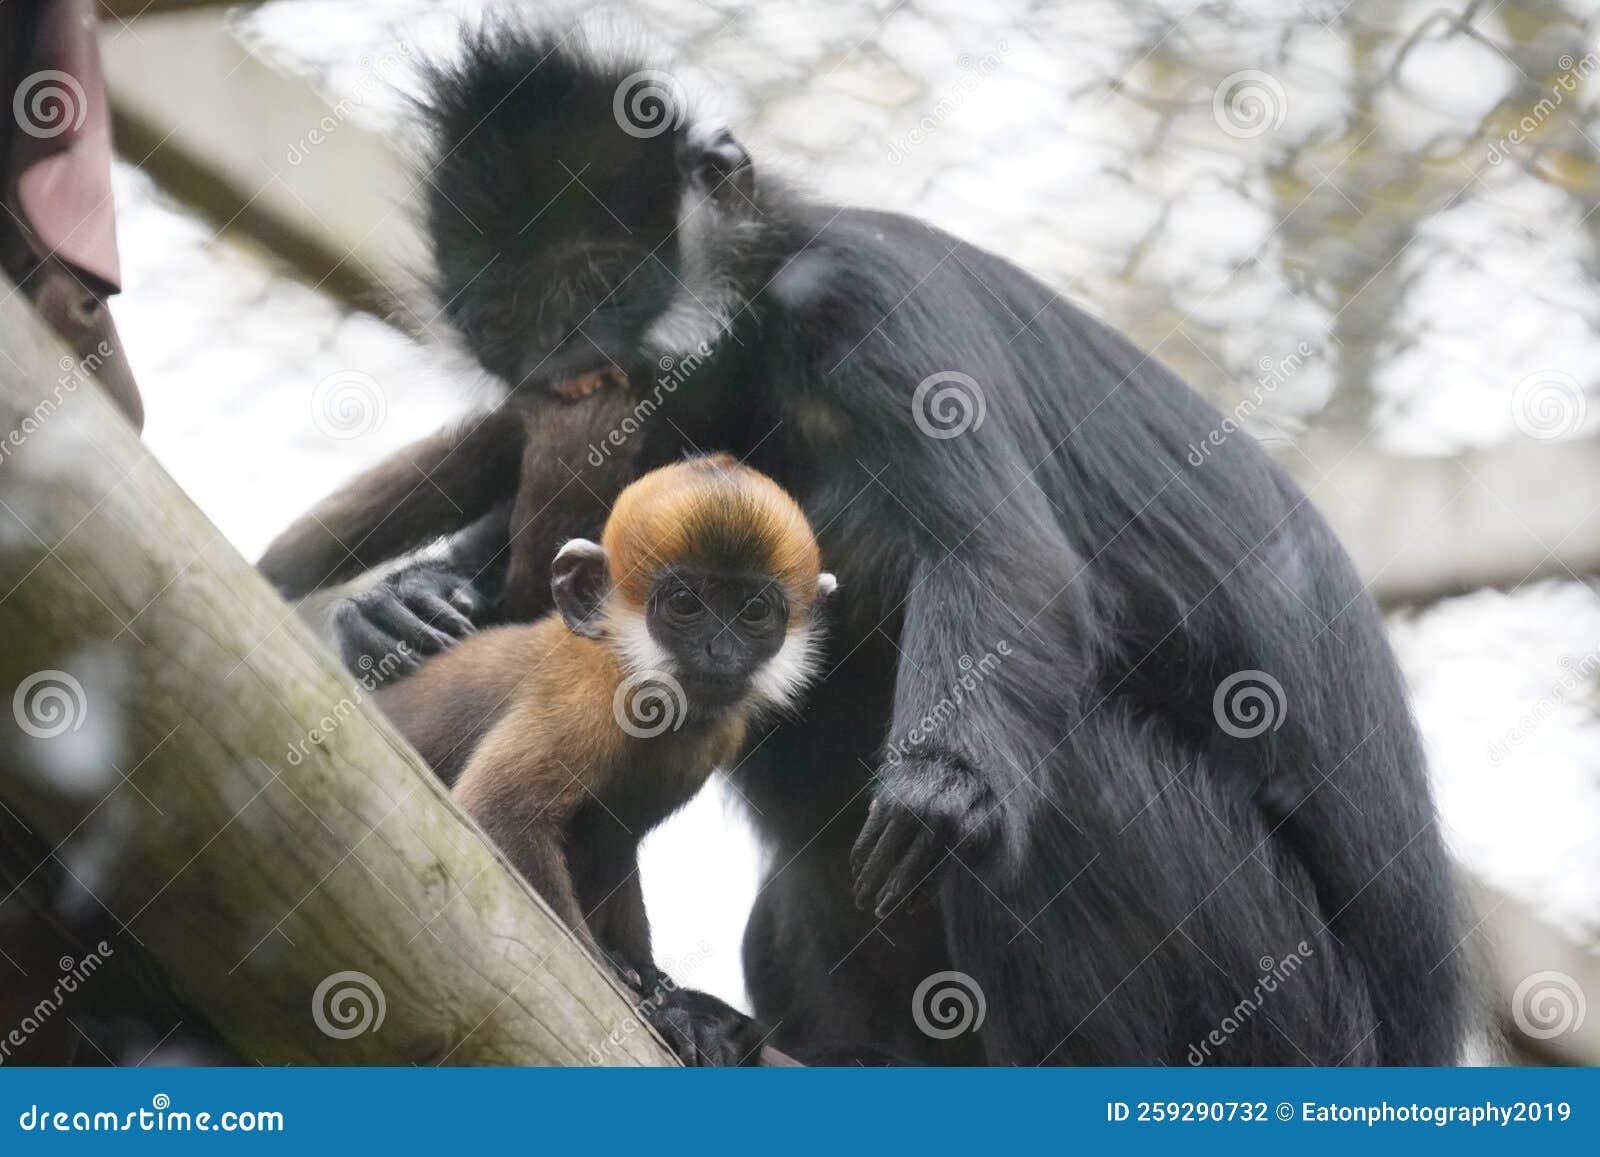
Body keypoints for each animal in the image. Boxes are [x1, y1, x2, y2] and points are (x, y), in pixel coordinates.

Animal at [371, 455, 834, 994]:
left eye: (753, 611)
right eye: (685, 603)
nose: (720, 651)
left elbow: (616, 843)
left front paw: (655, 983)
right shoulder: (591, 701)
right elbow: (500, 815)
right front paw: (619, 977)